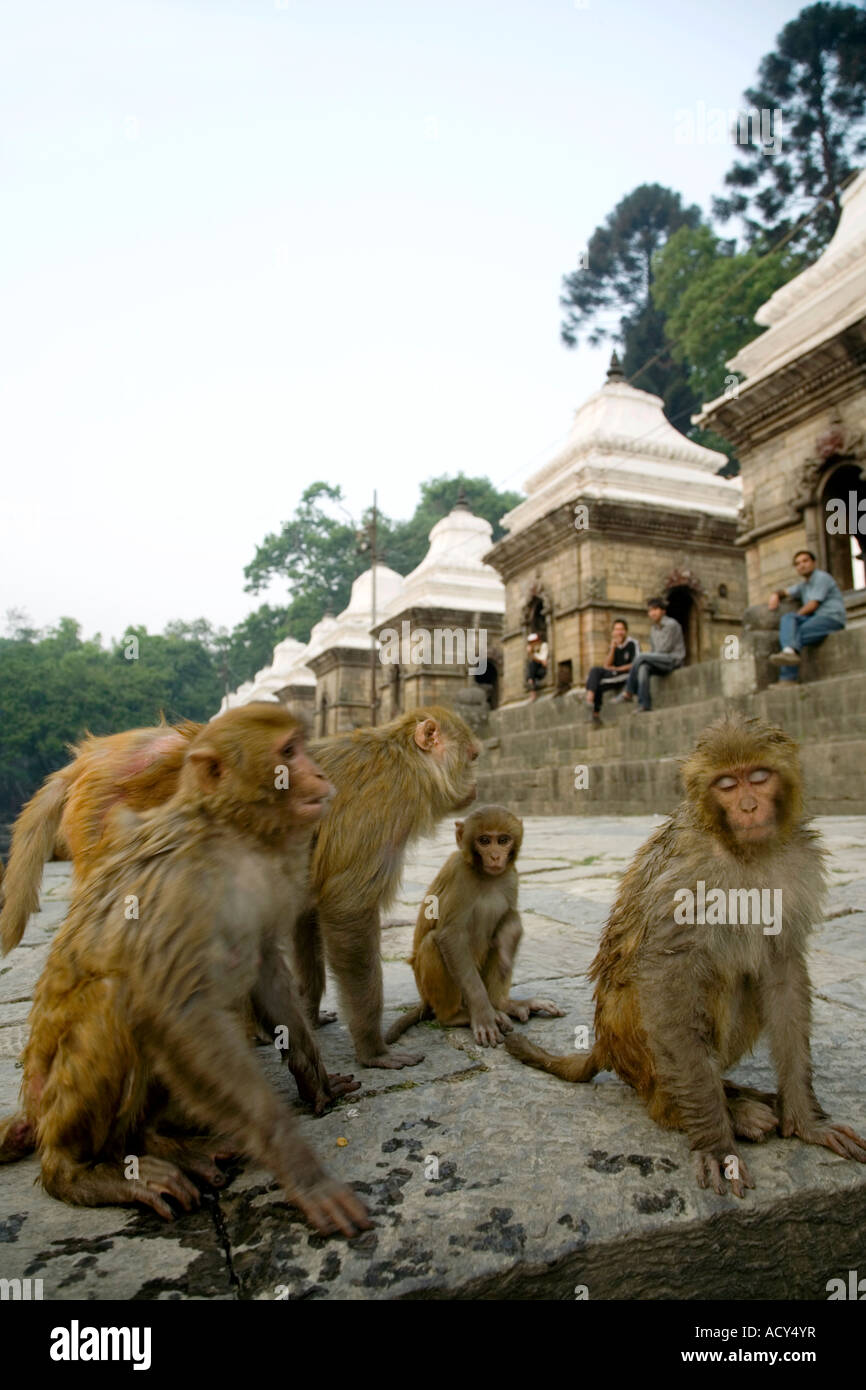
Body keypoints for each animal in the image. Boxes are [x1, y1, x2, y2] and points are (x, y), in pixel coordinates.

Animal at [0, 704, 370, 1237]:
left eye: (301, 747)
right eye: (288, 752)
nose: (320, 775)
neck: (232, 833)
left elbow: (265, 965)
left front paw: (313, 1077)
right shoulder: (186, 886)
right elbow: (179, 1010)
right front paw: (302, 1169)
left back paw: (163, 1141)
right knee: (120, 998)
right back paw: (81, 1172)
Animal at [295, 707, 482, 1070]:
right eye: (473, 757)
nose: (478, 781)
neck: (408, 762)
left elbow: (307, 911)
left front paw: (308, 1017)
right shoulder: (385, 803)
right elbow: (347, 905)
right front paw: (372, 1049)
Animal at [385, 805, 562, 1047]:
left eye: (503, 840)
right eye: (484, 840)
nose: (496, 856)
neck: (484, 874)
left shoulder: (511, 875)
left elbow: (509, 918)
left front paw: (507, 948)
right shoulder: (459, 874)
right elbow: (450, 937)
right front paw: (484, 1016)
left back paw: (504, 1004)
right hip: (430, 990)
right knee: (432, 943)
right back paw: (456, 1016)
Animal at [506, 713, 866, 1197]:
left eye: (758, 777)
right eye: (726, 784)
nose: (748, 806)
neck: (742, 852)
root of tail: (604, 1042)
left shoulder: (796, 865)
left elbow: (783, 974)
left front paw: (806, 1120)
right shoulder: (687, 877)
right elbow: (666, 975)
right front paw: (716, 1142)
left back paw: (735, 1094)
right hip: (636, 1046)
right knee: (706, 987)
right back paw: (700, 1110)